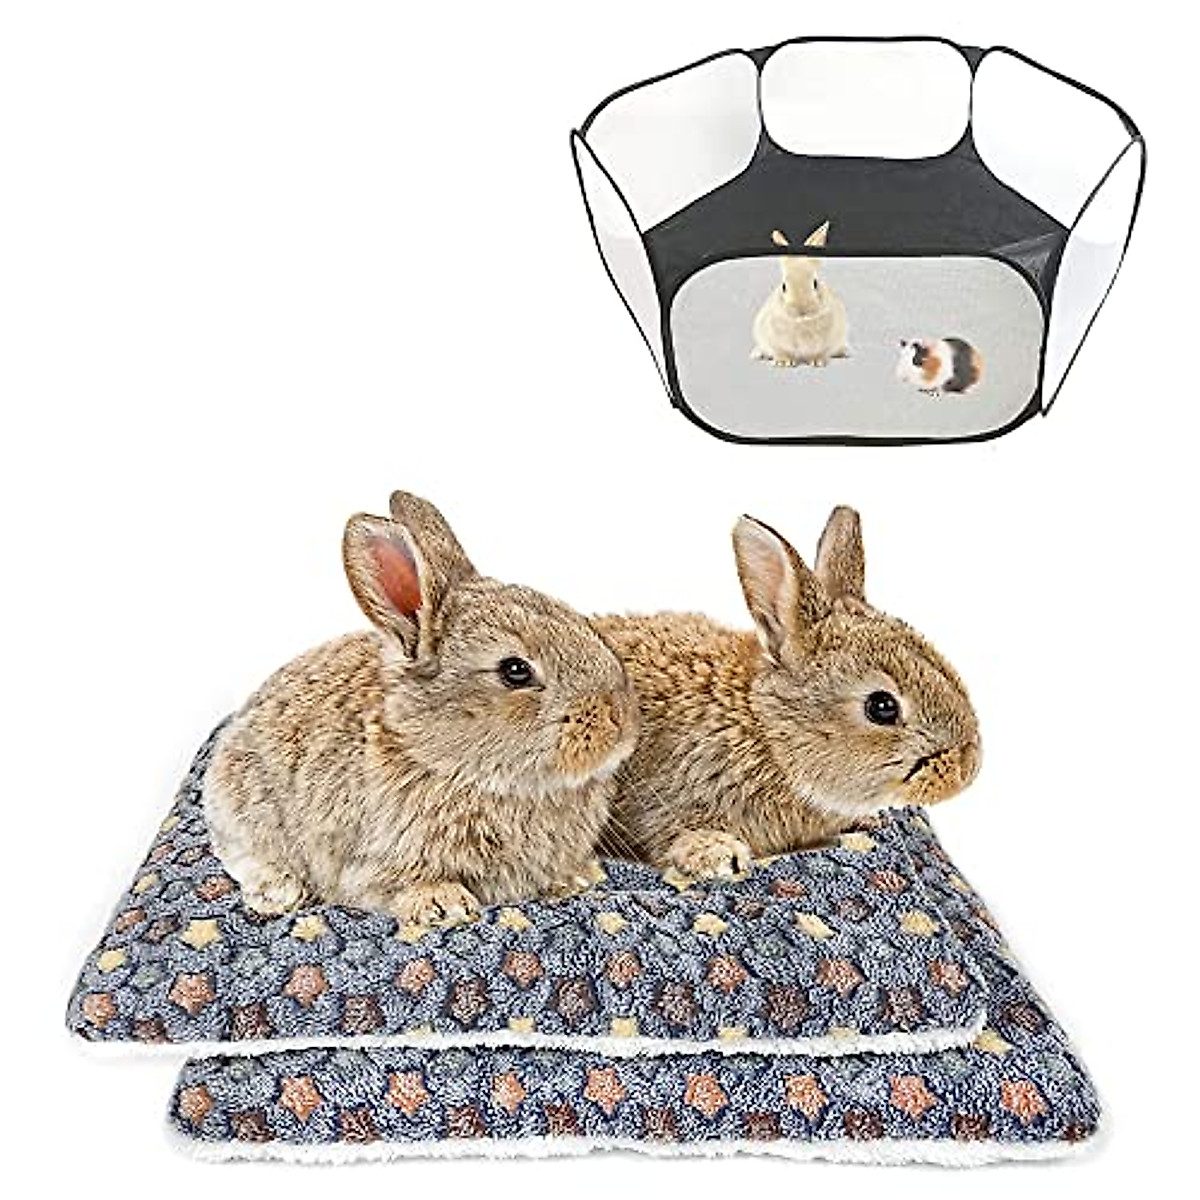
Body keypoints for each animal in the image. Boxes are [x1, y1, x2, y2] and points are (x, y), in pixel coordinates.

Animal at [751, 223, 850, 368]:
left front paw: (817, 362)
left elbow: (822, 352)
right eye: (784, 286)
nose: (802, 311)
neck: (802, 322)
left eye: (815, 283)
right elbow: (780, 351)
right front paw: (783, 362)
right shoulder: (773, 340)